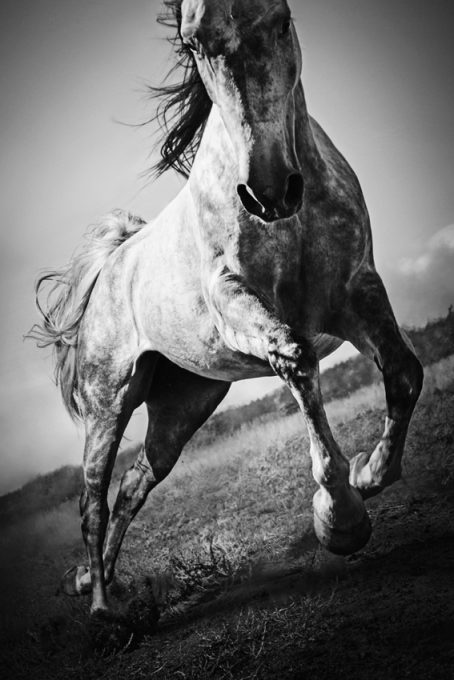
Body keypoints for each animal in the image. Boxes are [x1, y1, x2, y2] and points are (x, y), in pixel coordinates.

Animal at [30, 0, 423, 617]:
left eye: (282, 20)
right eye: (194, 43)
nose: (269, 192)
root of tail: (114, 262)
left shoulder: (357, 292)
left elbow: (405, 375)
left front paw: (368, 475)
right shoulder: (244, 306)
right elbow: (298, 360)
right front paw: (340, 519)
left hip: (184, 404)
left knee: (134, 485)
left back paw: (106, 582)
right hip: (108, 406)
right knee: (93, 502)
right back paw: (101, 608)